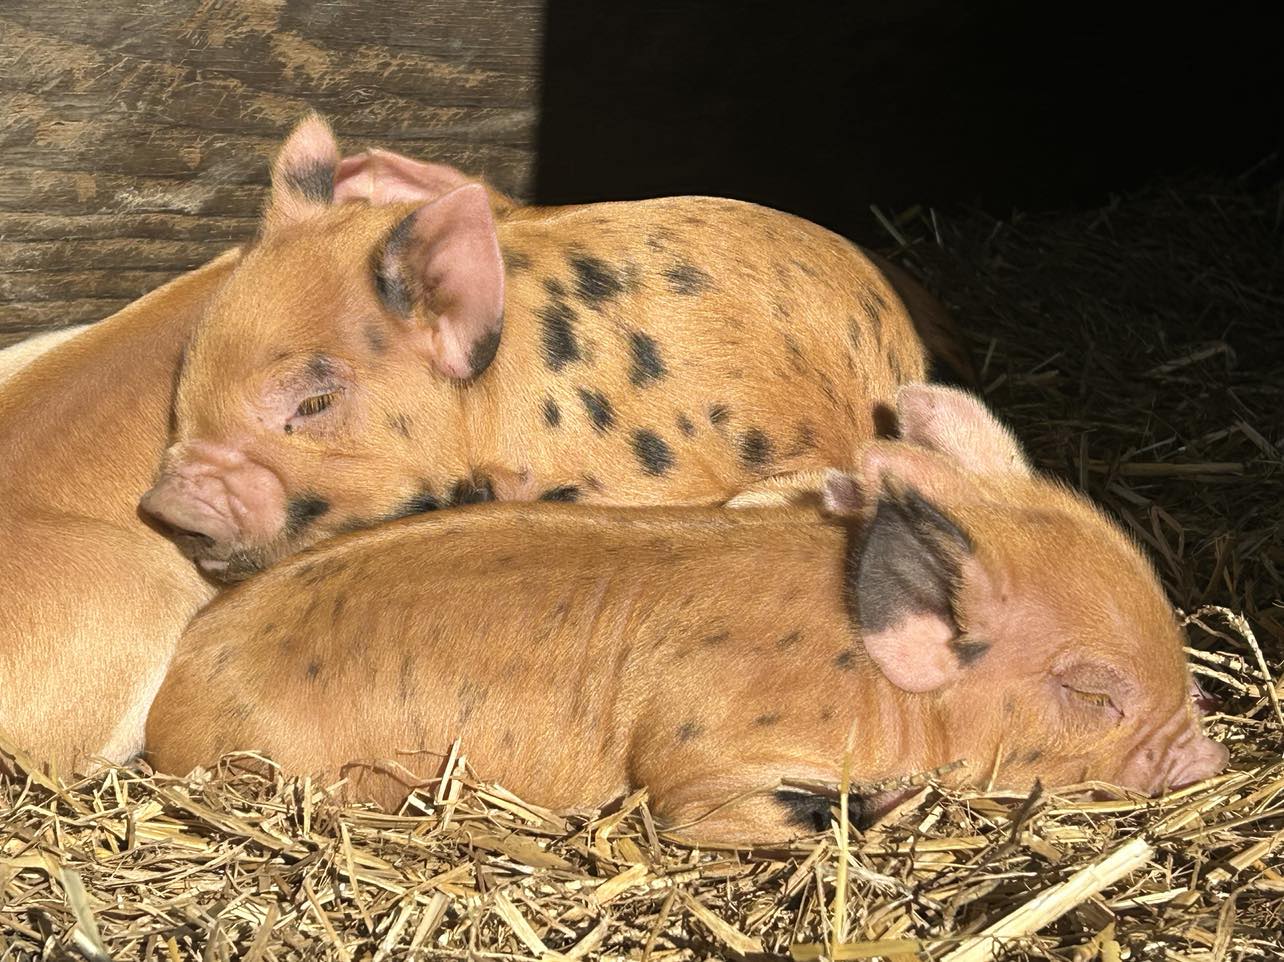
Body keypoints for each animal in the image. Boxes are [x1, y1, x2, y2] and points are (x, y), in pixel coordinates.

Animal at [145, 385, 1228, 846]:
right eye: (1094, 689)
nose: (1211, 757)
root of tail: (174, 686)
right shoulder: (700, 754)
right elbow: (713, 807)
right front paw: (876, 806)